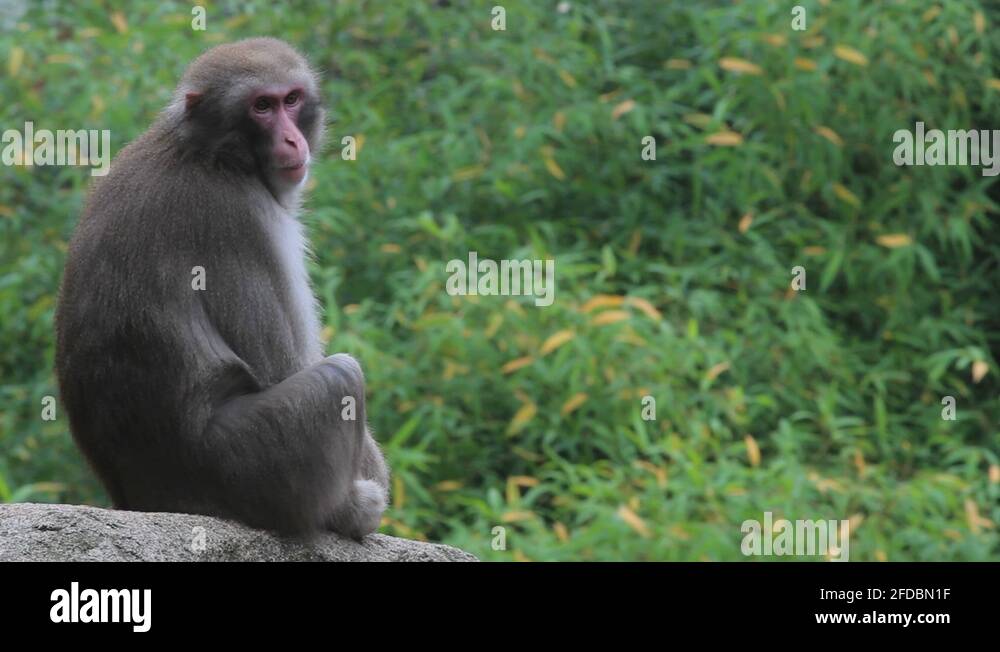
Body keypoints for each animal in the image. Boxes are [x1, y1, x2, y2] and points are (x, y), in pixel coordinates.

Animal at [54, 38, 389, 539]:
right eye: (261, 107)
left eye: (291, 99)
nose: (292, 140)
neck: (210, 154)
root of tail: (148, 498)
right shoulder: (243, 219)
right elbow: (283, 365)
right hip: (256, 466)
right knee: (340, 377)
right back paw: (346, 511)